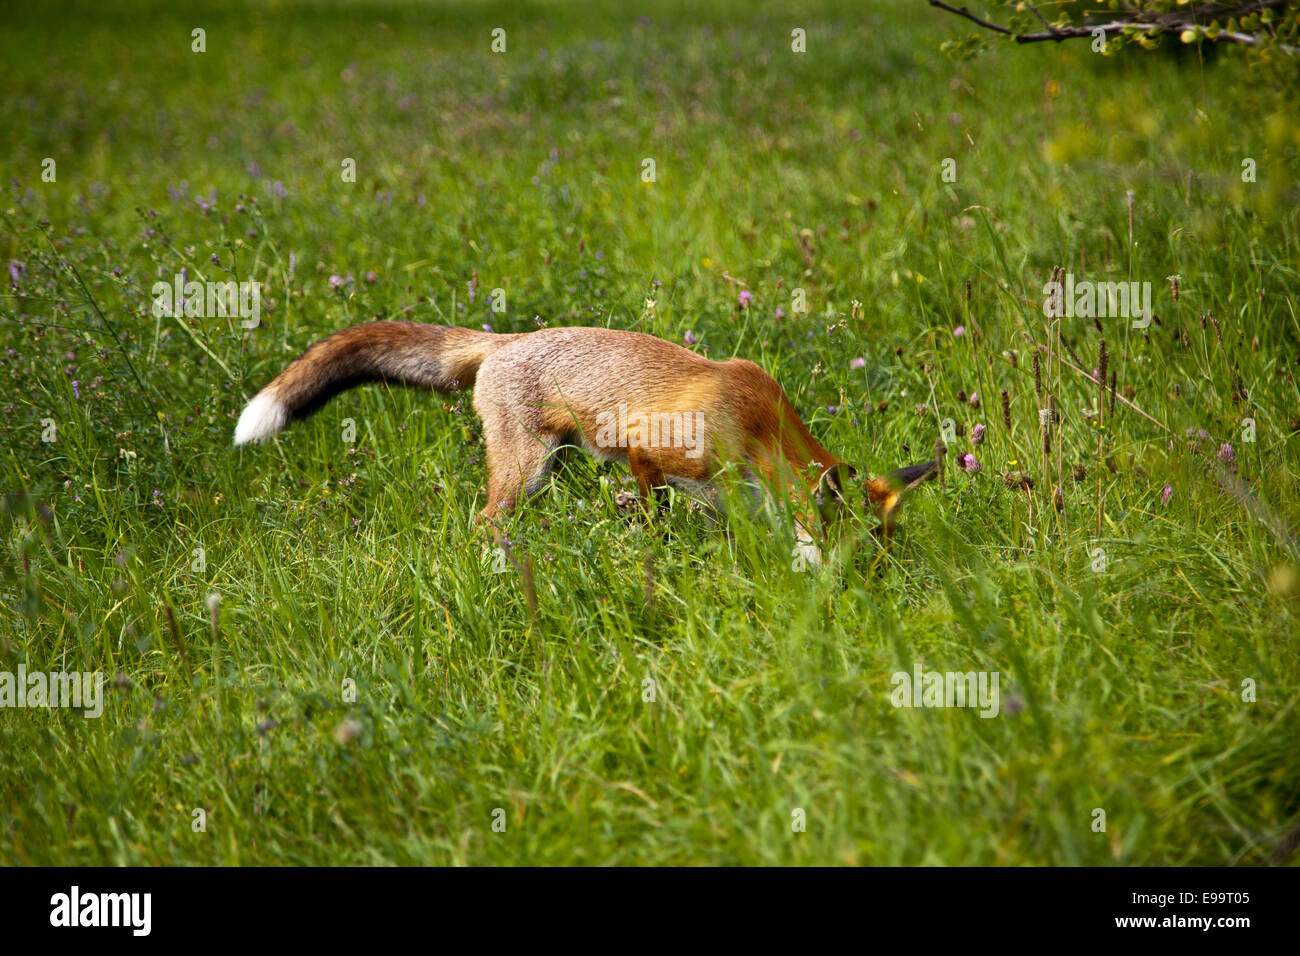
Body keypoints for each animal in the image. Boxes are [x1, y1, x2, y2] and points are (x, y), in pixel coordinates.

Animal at [233, 320, 938, 557]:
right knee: (486, 520)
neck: (757, 423)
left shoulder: (718, 491)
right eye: (853, 551)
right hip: (526, 470)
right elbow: (653, 520)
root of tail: (506, 341)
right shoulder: (649, 451)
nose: (863, 594)